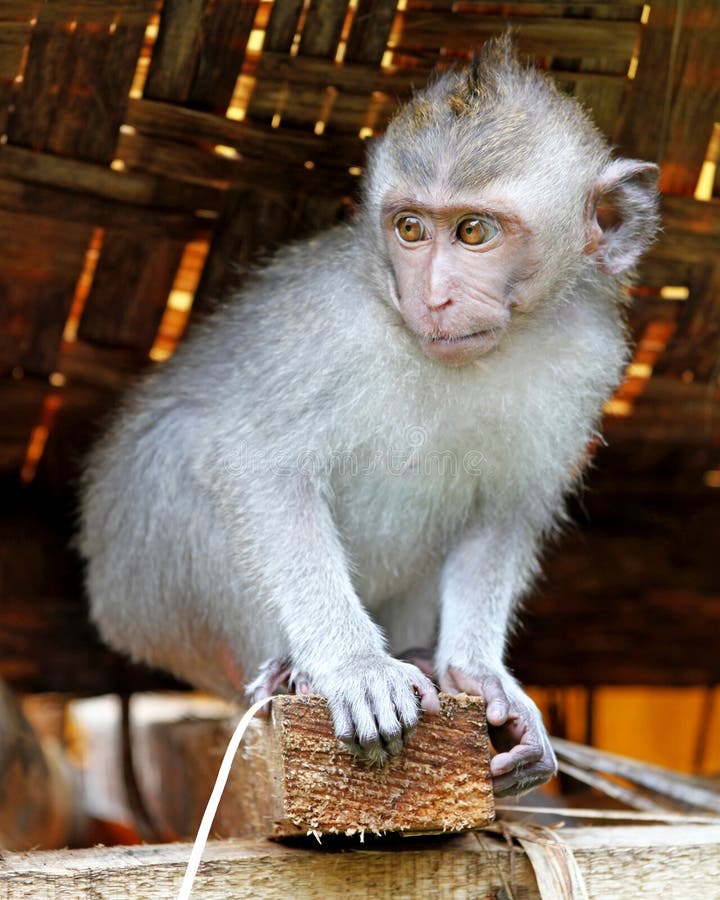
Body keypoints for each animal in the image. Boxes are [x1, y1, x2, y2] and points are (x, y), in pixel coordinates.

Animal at [79, 37, 659, 796]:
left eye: (473, 231)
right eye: (410, 228)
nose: (434, 297)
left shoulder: (588, 353)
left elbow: (506, 508)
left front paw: (482, 673)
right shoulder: (331, 327)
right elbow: (258, 467)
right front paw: (354, 666)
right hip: (137, 596)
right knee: (176, 452)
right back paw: (288, 672)